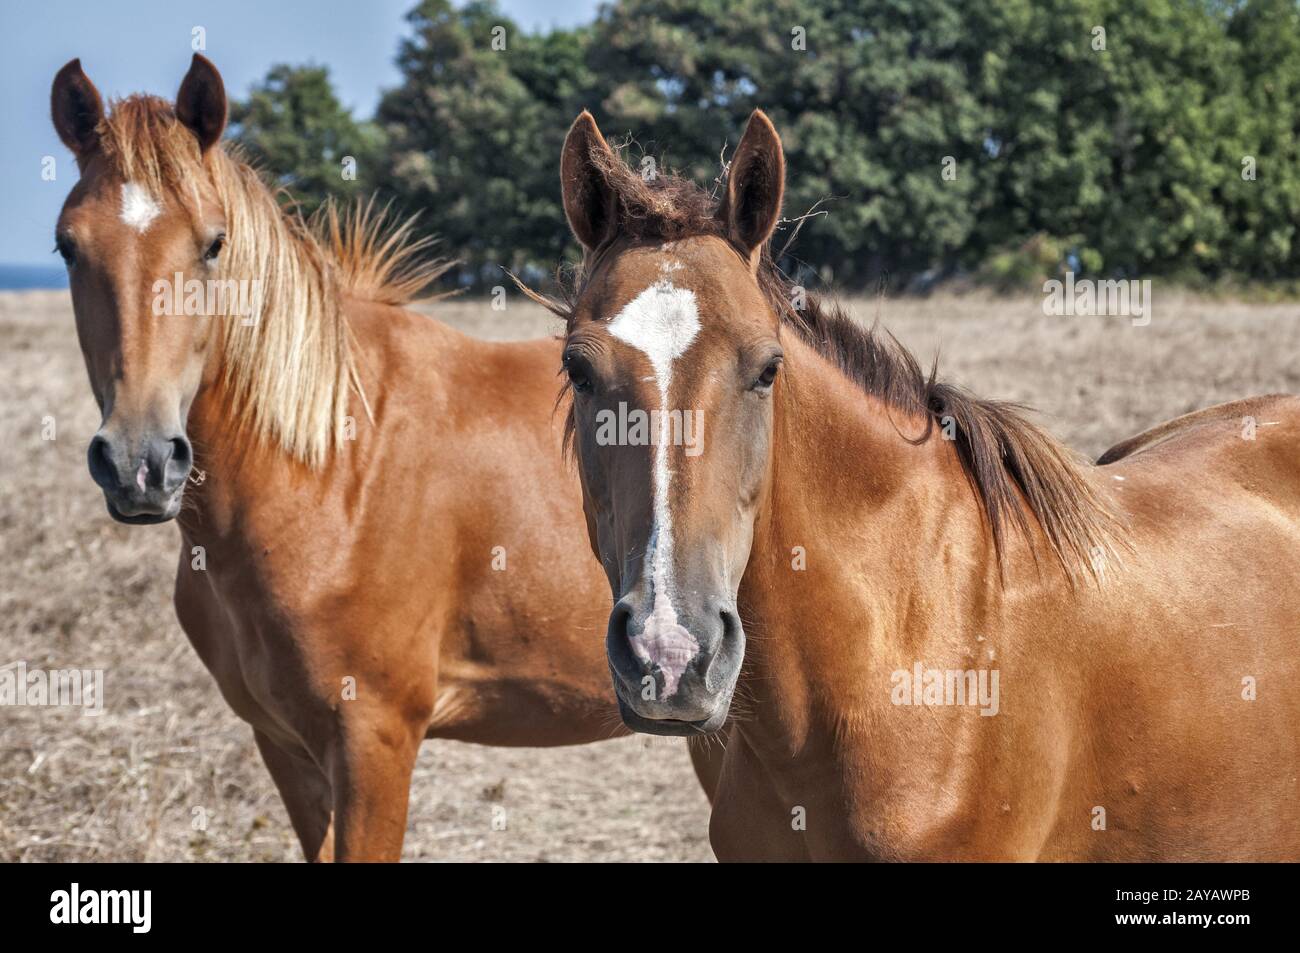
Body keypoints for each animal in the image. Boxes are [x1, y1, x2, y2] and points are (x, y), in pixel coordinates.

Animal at [49, 54, 719, 862]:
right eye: (68, 247)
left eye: (213, 244)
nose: (140, 463)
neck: (335, 470)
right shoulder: (286, 749)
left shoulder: (375, 740)